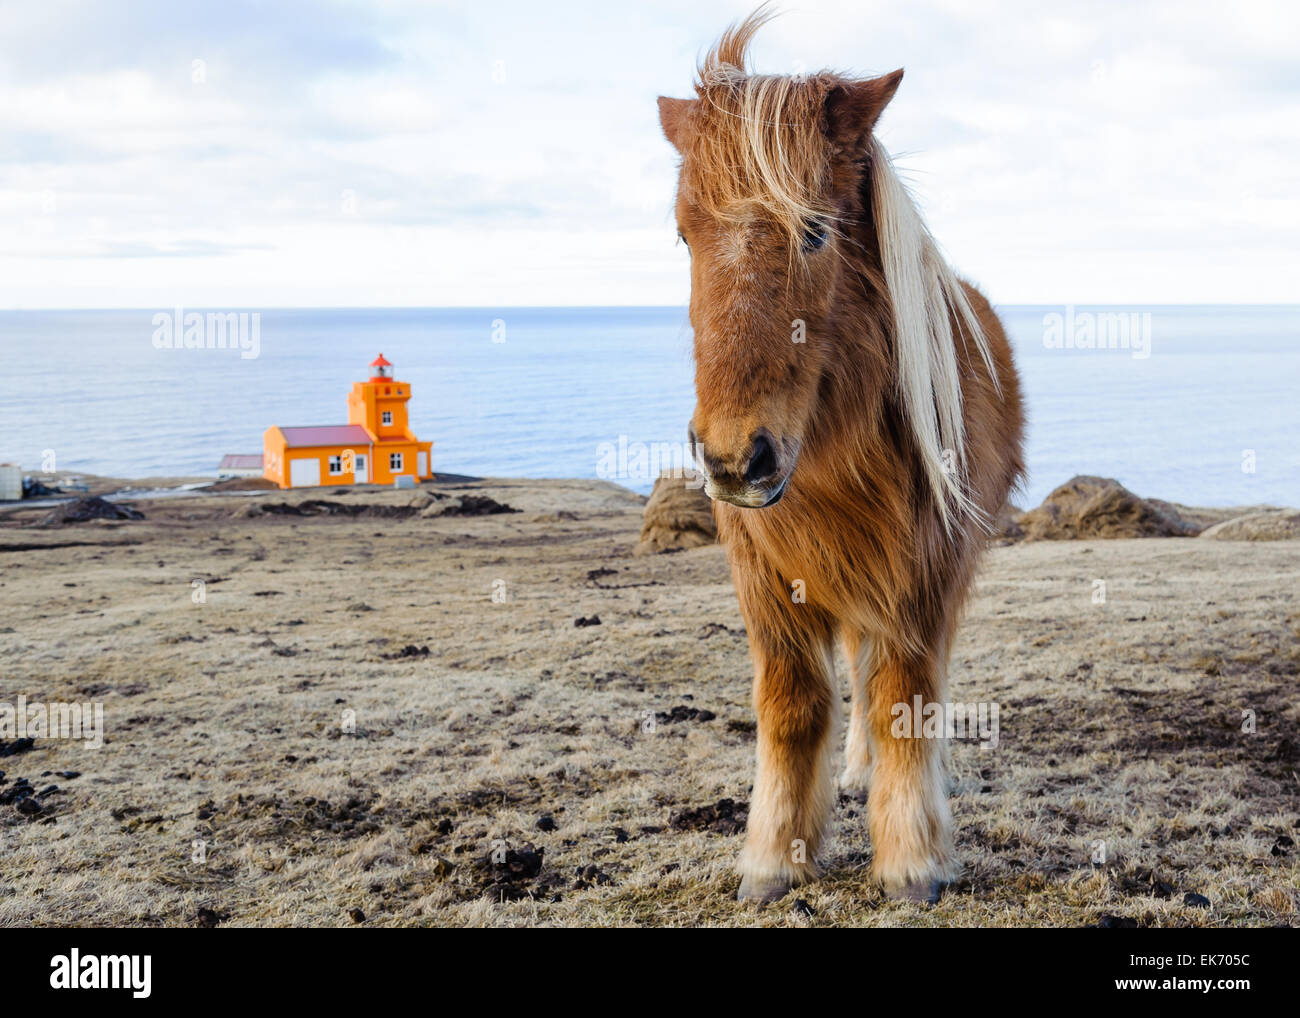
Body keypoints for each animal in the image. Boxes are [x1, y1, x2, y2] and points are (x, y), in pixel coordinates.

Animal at [657, 8, 1026, 904]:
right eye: (684, 233)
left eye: (816, 230)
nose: (735, 459)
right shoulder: (766, 577)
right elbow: (792, 706)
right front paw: (772, 858)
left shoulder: (923, 569)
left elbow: (905, 696)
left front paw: (913, 863)